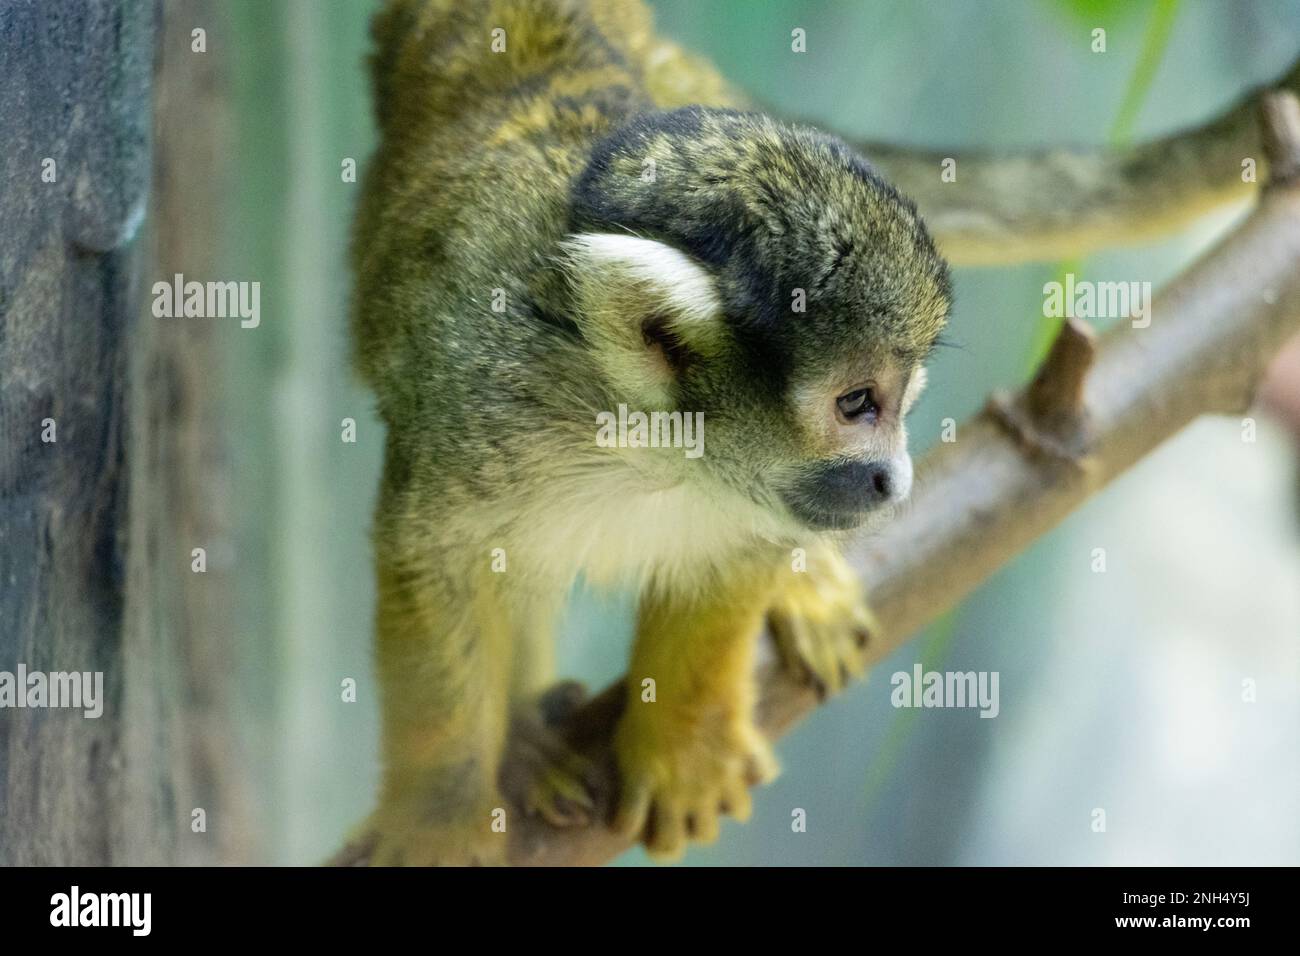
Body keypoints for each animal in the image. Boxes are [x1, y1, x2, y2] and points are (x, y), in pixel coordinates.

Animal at [346, 0, 950, 864]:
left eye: (901, 403)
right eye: (859, 404)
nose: (892, 480)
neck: (651, 442)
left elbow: (734, 558)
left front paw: (681, 752)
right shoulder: (472, 401)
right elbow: (435, 561)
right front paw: (440, 818)